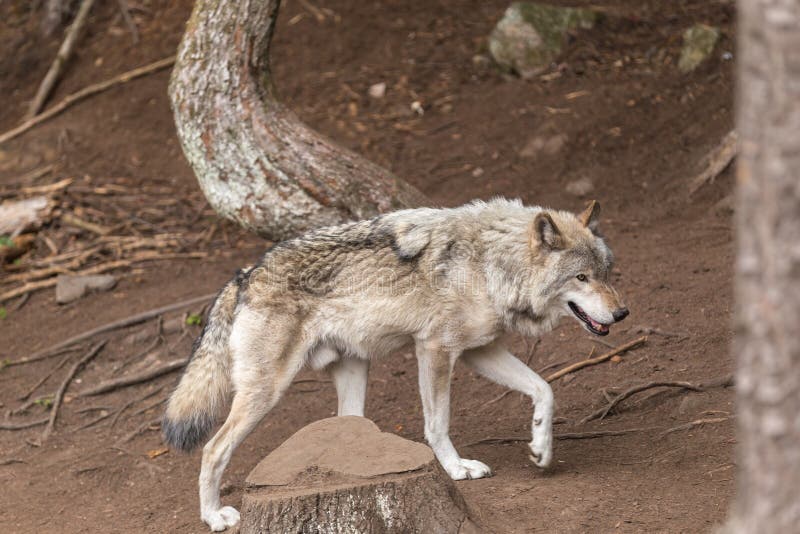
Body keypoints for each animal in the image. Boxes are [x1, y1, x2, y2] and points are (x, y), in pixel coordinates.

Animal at [162, 198, 628, 531]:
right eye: (581, 278)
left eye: (607, 272)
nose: (622, 313)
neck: (488, 263)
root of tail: (246, 273)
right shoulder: (436, 349)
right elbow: (437, 424)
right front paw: (457, 469)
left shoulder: (480, 351)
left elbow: (544, 389)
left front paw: (542, 449)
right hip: (266, 392)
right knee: (213, 449)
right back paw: (214, 516)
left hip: (353, 377)